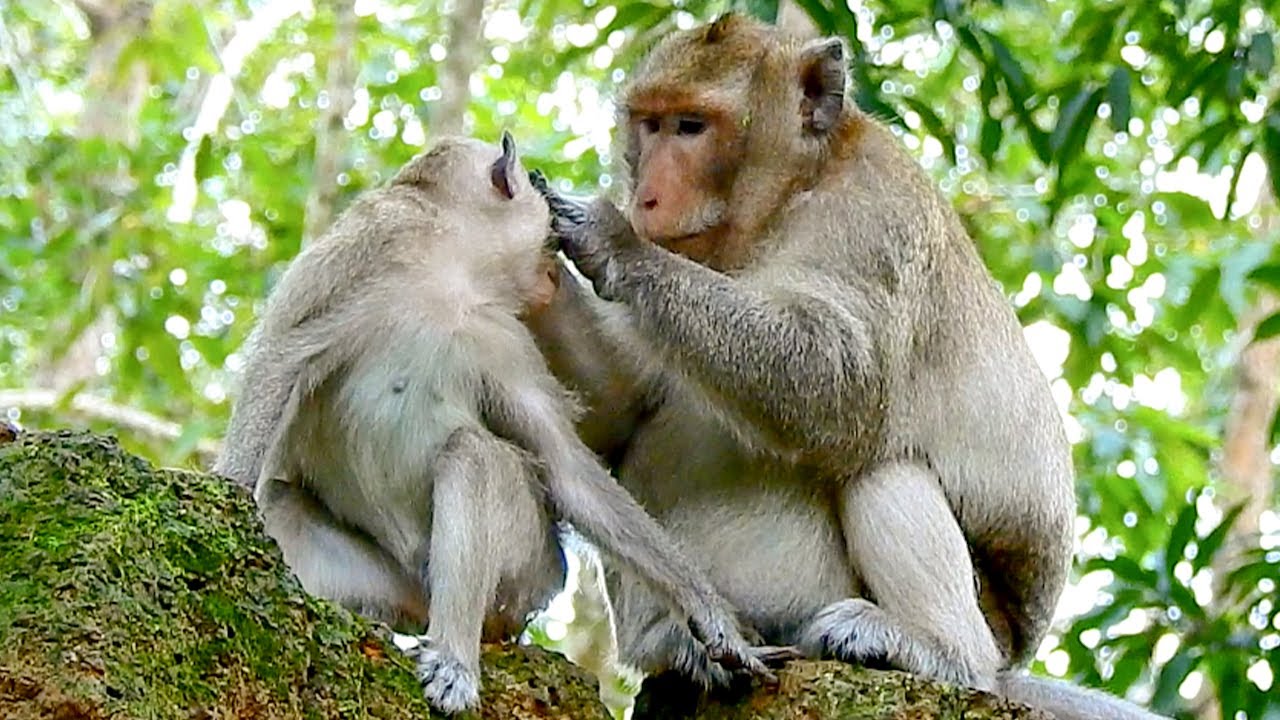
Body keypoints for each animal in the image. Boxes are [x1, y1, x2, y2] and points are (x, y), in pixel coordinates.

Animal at [212, 132, 777, 714]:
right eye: (548, 235)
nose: (553, 271)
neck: (452, 266)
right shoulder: (371, 244)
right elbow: (282, 357)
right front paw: (229, 498)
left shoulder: (505, 338)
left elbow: (564, 467)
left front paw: (711, 615)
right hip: (398, 587)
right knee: (291, 504)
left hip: (529, 572)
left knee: (474, 456)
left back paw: (454, 656)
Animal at [525, 14, 1167, 720]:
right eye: (650, 123)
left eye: (690, 126)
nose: (645, 198)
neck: (782, 202)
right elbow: (611, 417)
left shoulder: (873, 212)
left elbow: (842, 381)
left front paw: (613, 243)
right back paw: (679, 644)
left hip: (979, 617)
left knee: (881, 460)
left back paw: (936, 651)